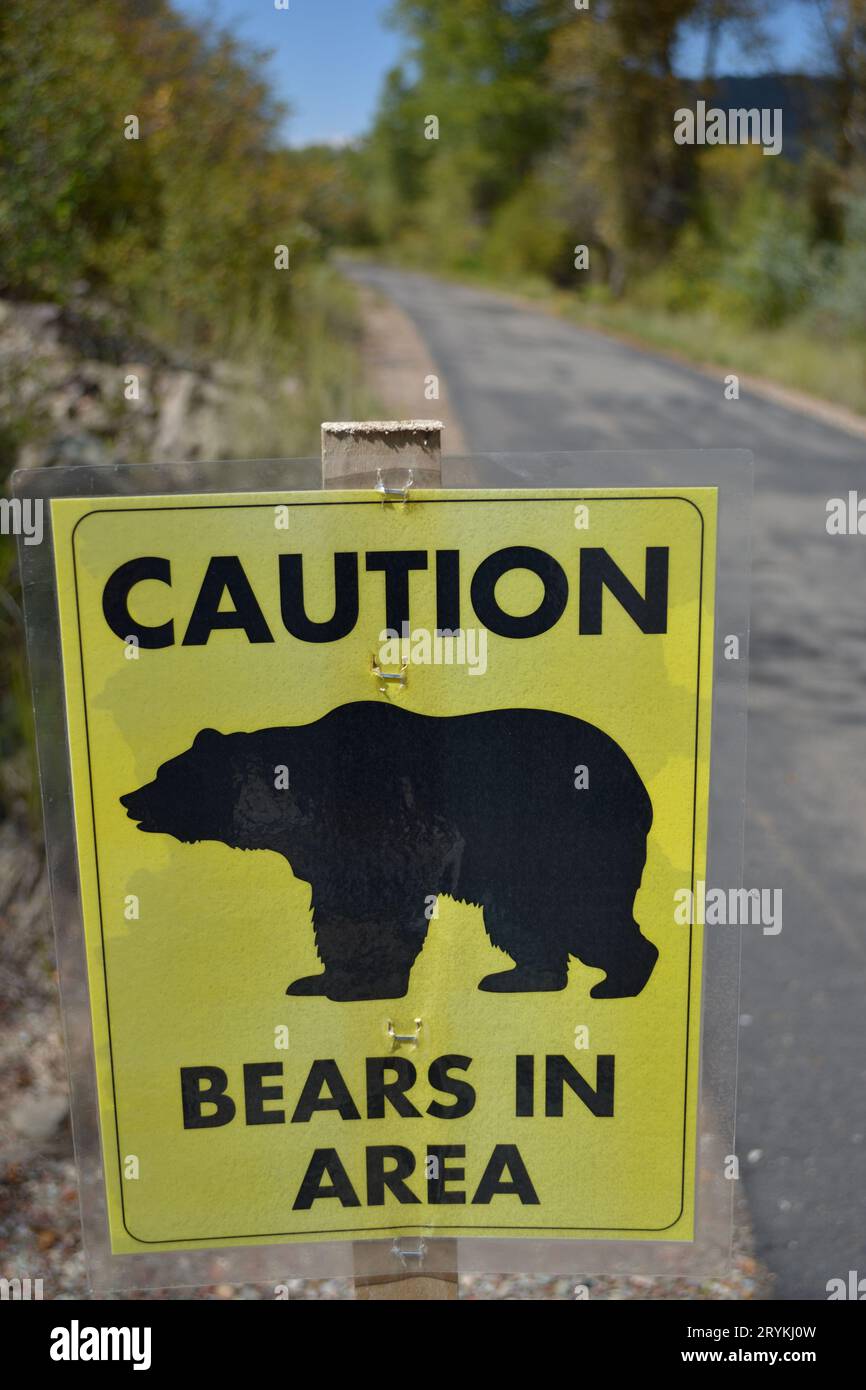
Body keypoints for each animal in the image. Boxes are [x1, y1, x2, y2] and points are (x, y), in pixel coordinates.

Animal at [119, 701, 657, 1003]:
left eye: (169, 776)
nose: (128, 799)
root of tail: (637, 782)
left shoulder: (385, 821)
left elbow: (378, 901)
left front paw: (361, 984)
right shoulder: (329, 856)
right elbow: (336, 909)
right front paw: (319, 979)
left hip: (562, 836)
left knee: (584, 910)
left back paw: (620, 980)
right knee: (520, 918)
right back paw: (518, 976)